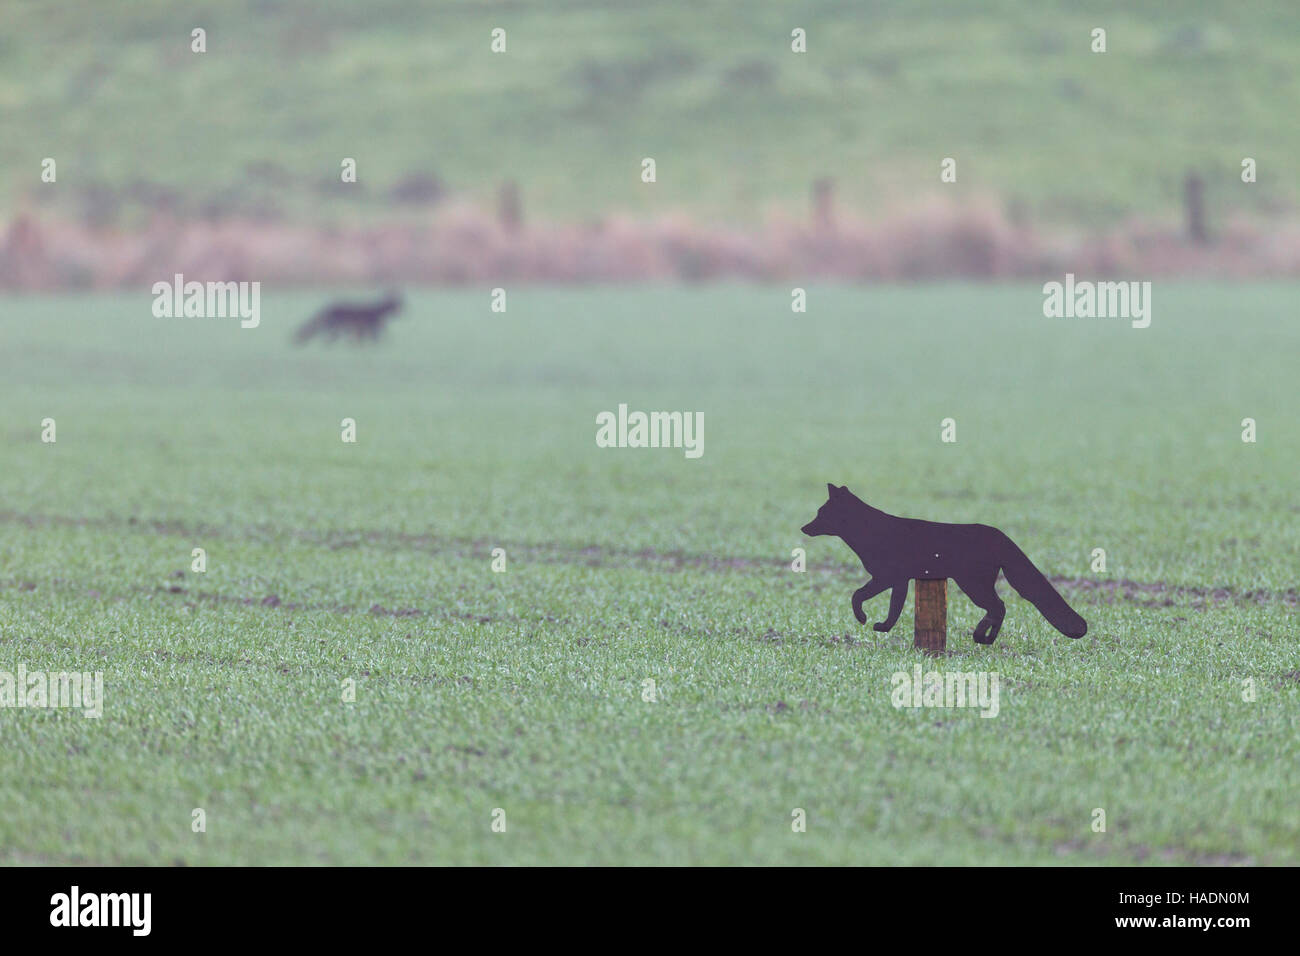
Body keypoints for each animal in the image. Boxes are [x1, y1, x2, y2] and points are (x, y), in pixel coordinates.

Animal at [801, 484, 1087, 644]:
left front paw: (864, 619)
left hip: (973, 585)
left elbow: (857, 595)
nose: (804, 528)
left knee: (999, 606)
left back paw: (981, 637)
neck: (868, 531)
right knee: (1000, 607)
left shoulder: (886, 576)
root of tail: (999, 535)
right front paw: (884, 626)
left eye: (820, 513)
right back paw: (986, 638)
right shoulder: (899, 581)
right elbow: (893, 607)